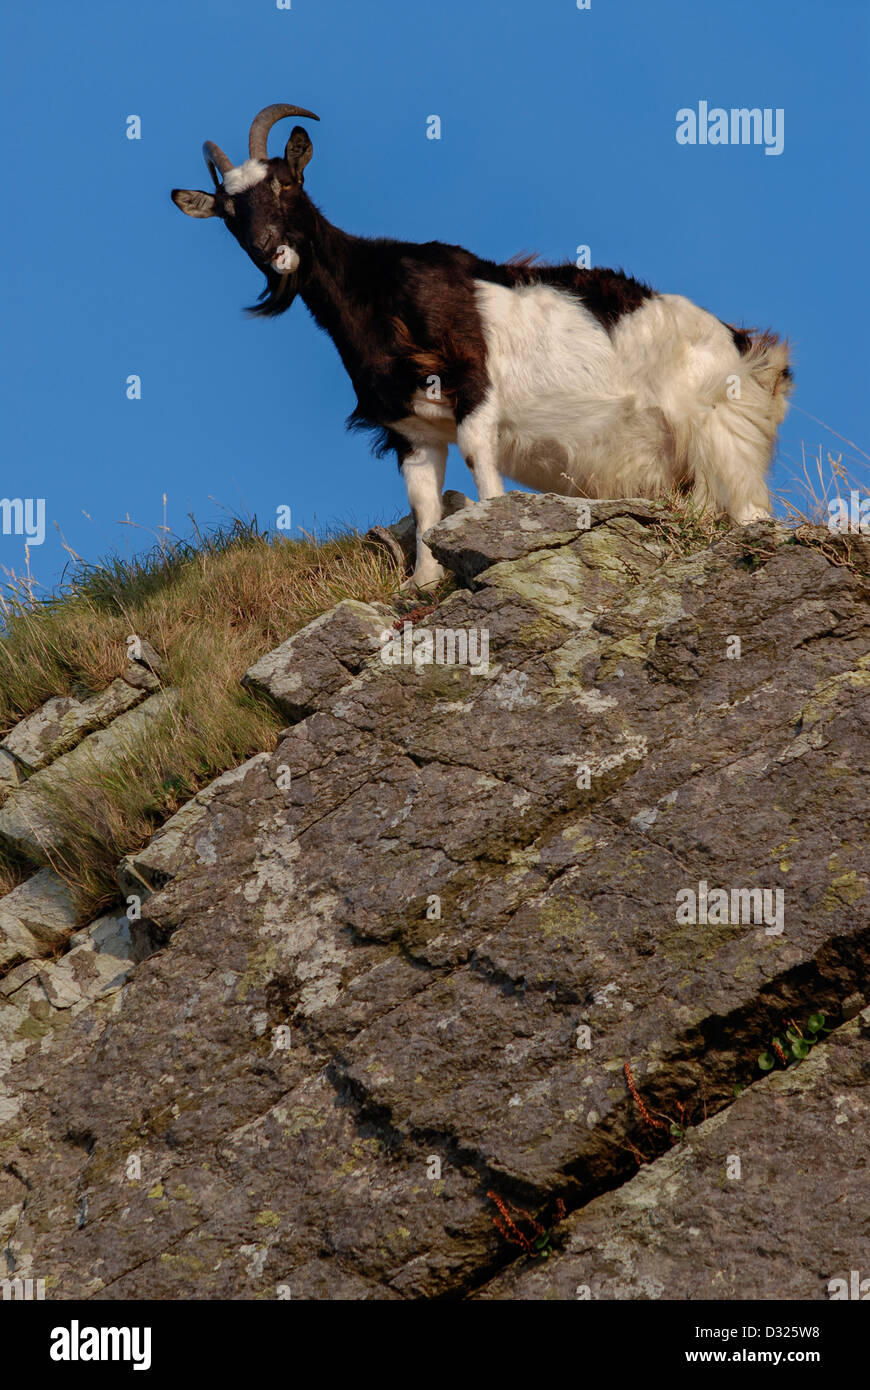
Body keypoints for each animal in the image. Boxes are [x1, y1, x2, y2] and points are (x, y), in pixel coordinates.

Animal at [172, 103, 793, 587]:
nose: (272, 251)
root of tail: (746, 348)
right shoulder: (411, 430)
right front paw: (424, 582)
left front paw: (493, 535)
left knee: (751, 509)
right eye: (228, 212)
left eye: (285, 181)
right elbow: (424, 503)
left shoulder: (473, 385)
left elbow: (478, 459)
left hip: (721, 433)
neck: (381, 291)